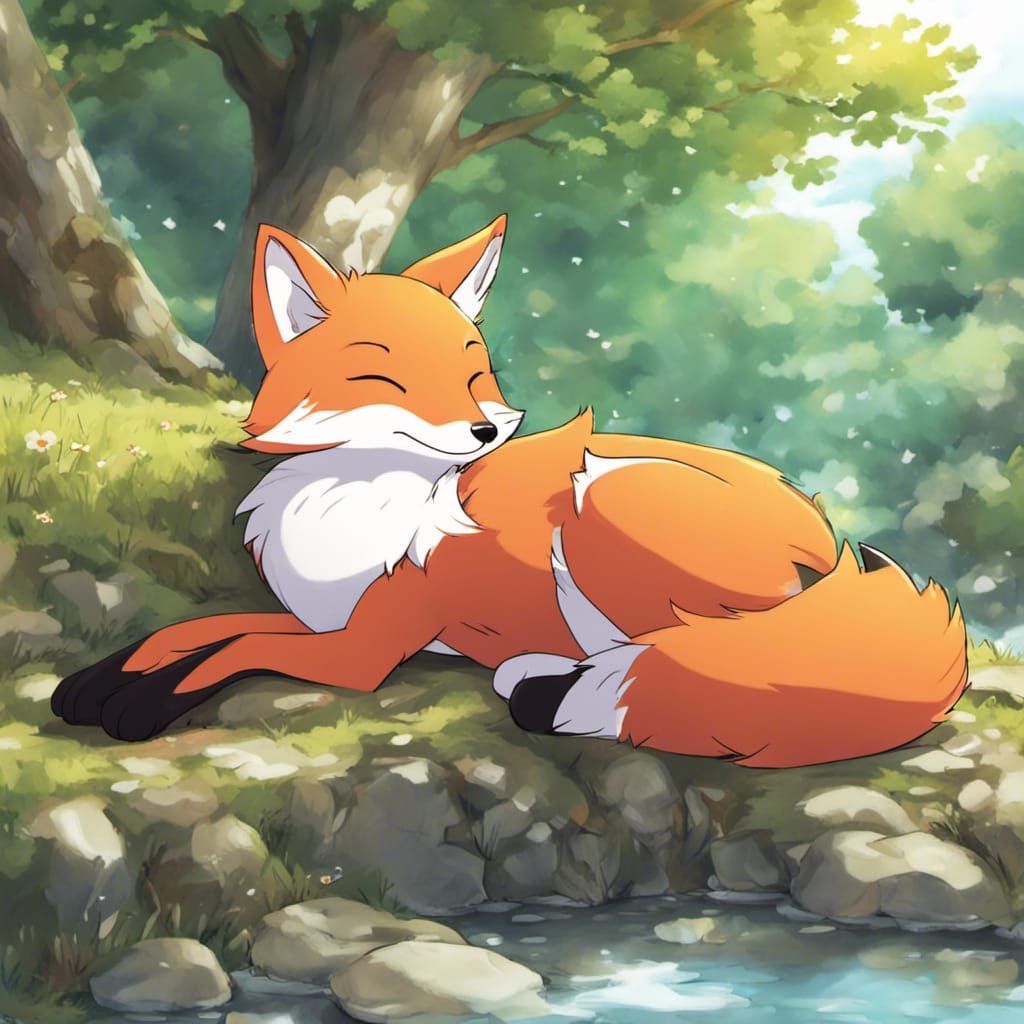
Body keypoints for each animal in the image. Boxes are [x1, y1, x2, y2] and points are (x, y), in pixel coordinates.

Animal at [52, 215, 969, 768]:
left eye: (472, 372)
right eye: (385, 377)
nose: (486, 433)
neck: (355, 511)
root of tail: (827, 541)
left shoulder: (359, 652)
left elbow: (230, 651)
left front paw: (138, 704)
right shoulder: (324, 620)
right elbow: (194, 632)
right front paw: (98, 681)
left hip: (601, 503)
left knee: (681, 655)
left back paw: (564, 685)